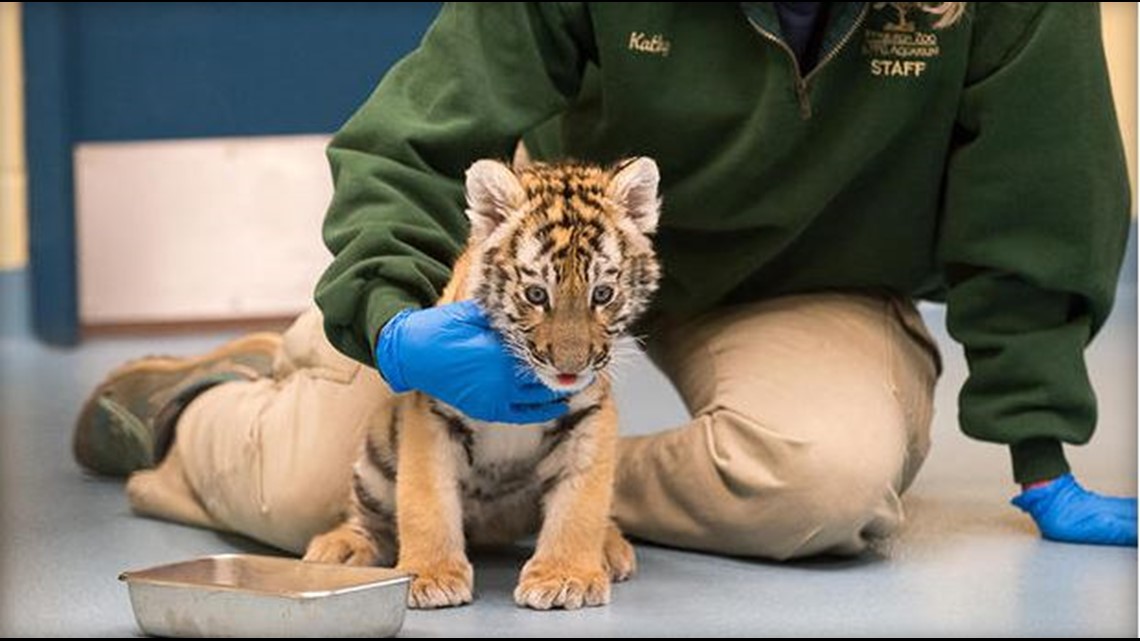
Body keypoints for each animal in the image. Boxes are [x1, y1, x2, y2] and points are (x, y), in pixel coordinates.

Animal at [303, 157, 662, 610]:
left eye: (602, 294)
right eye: (536, 294)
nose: (571, 368)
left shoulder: (589, 416)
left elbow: (581, 503)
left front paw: (566, 578)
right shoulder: (431, 412)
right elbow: (425, 501)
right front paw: (432, 576)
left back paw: (611, 548)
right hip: (377, 449)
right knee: (369, 514)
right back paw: (343, 547)